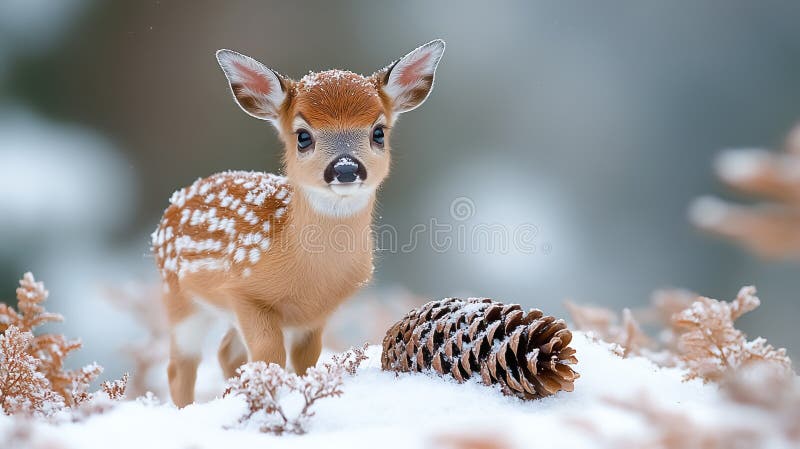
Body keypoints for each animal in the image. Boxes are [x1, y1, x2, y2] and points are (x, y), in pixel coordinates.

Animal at [151, 40, 445, 407]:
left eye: (378, 132)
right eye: (303, 136)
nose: (346, 168)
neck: (309, 274)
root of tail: (175, 201)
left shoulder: (316, 315)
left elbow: (305, 361)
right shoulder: (243, 293)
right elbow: (268, 357)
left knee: (225, 352)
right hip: (177, 296)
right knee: (180, 366)